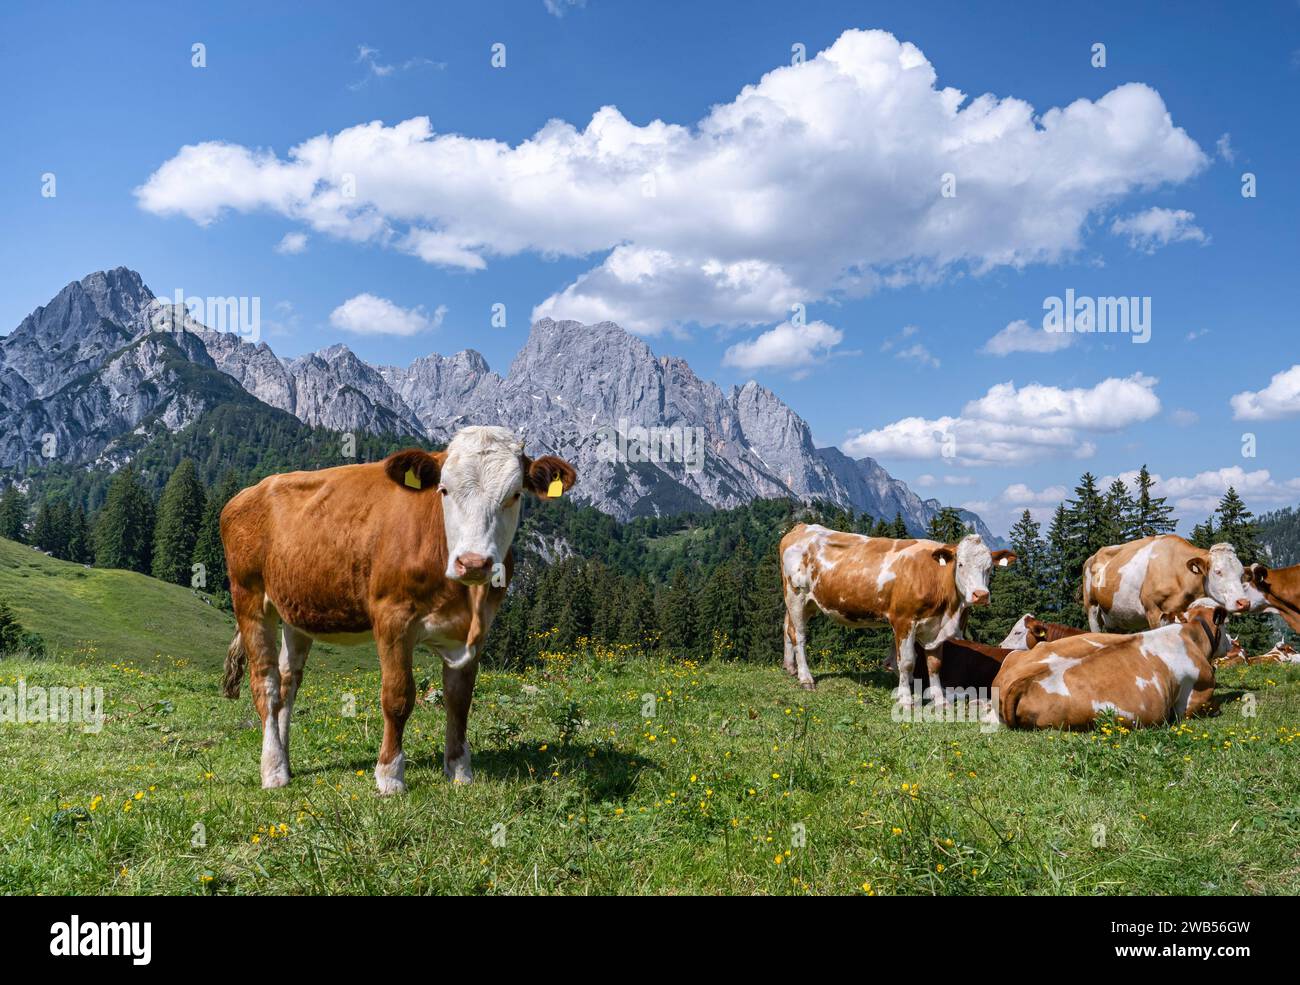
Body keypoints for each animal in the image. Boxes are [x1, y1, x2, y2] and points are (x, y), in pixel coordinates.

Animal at [219, 426, 576, 793]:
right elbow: (397, 697)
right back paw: (273, 769)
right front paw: (389, 775)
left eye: (515, 495)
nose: (473, 563)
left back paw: (285, 760)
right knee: (266, 683)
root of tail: (251, 491)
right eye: (444, 490)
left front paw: (460, 771)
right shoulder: (392, 619)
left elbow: (460, 700)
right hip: (249, 597)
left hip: (297, 609)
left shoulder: (477, 631)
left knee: (288, 682)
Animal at [778, 524, 1015, 702]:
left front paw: (939, 699)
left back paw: (790, 668)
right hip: (796, 595)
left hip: (808, 602)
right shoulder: (903, 620)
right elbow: (907, 661)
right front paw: (905, 698)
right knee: (799, 636)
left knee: (787, 628)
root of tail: (802, 527)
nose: (980, 595)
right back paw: (805, 678)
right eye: (961, 564)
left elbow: (935, 664)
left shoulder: (936, 628)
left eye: (990, 568)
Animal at [995, 600, 1228, 730]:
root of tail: (1022, 683)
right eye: (1225, 625)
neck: (1192, 635)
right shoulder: (1193, 703)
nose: (1230, 644)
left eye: (1017, 631)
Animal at [1083, 535, 1263, 633]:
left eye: (1241, 575)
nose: (1243, 603)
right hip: (1092, 608)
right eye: (1218, 572)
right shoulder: (1153, 611)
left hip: (1117, 617)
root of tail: (1093, 556)